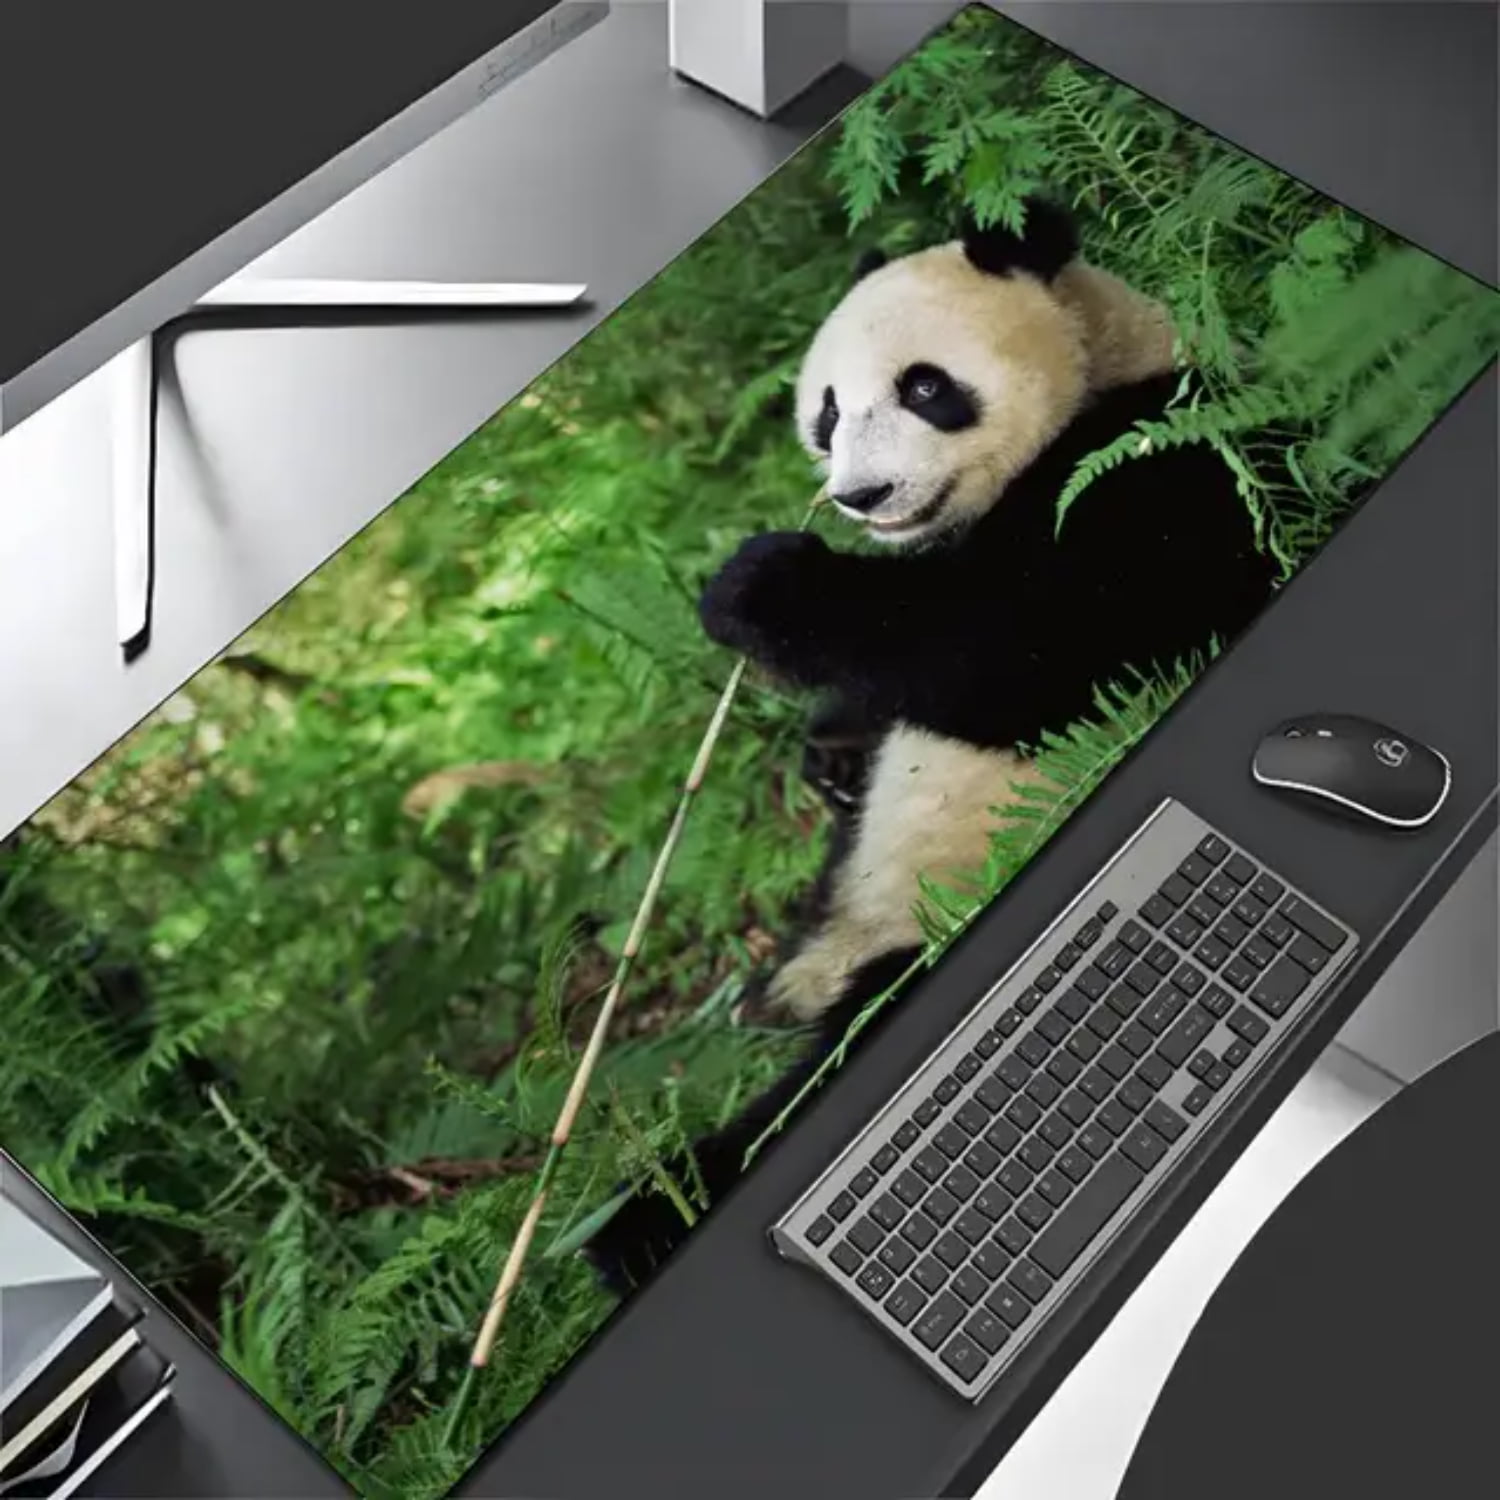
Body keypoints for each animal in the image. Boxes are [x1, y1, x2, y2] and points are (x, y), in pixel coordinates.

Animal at [582, 197, 1279, 1295]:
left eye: (923, 386)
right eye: (827, 413)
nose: (860, 497)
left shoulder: (1164, 464)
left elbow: (1011, 651)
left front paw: (760, 582)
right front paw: (827, 754)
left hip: (926, 929)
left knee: (829, 1065)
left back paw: (645, 1220)